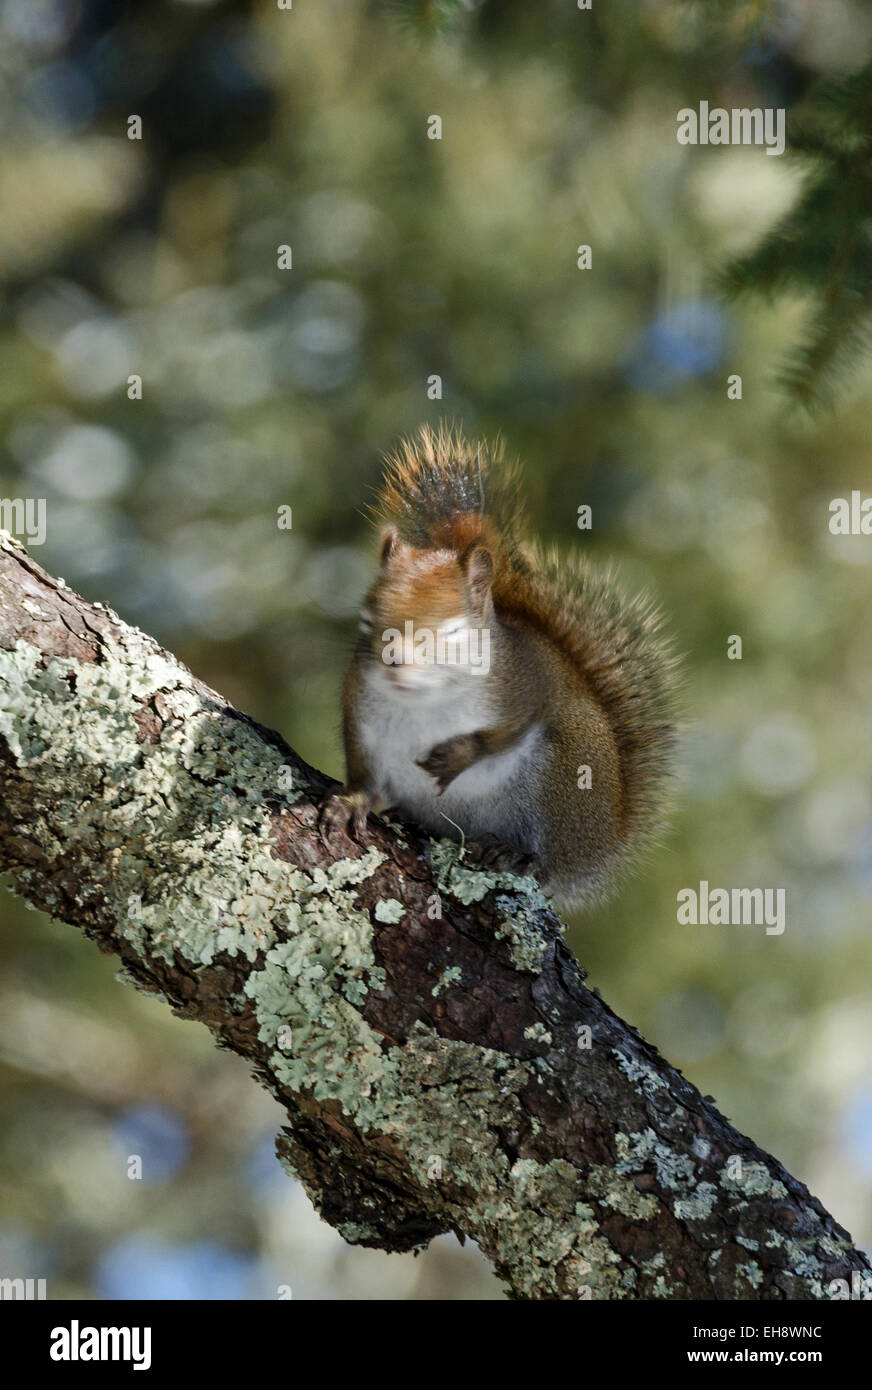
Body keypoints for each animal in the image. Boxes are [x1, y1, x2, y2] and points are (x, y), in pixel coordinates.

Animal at [322, 425, 678, 909]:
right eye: (365, 620)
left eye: (454, 631)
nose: (393, 660)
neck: (425, 702)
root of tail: (600, 850)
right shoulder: (360, 716)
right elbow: (362, 771)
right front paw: (352, 801)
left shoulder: (527, 687)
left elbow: (505, 732)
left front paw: (458, 755)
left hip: (566, 777)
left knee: (550, 862)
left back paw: (517, 853)